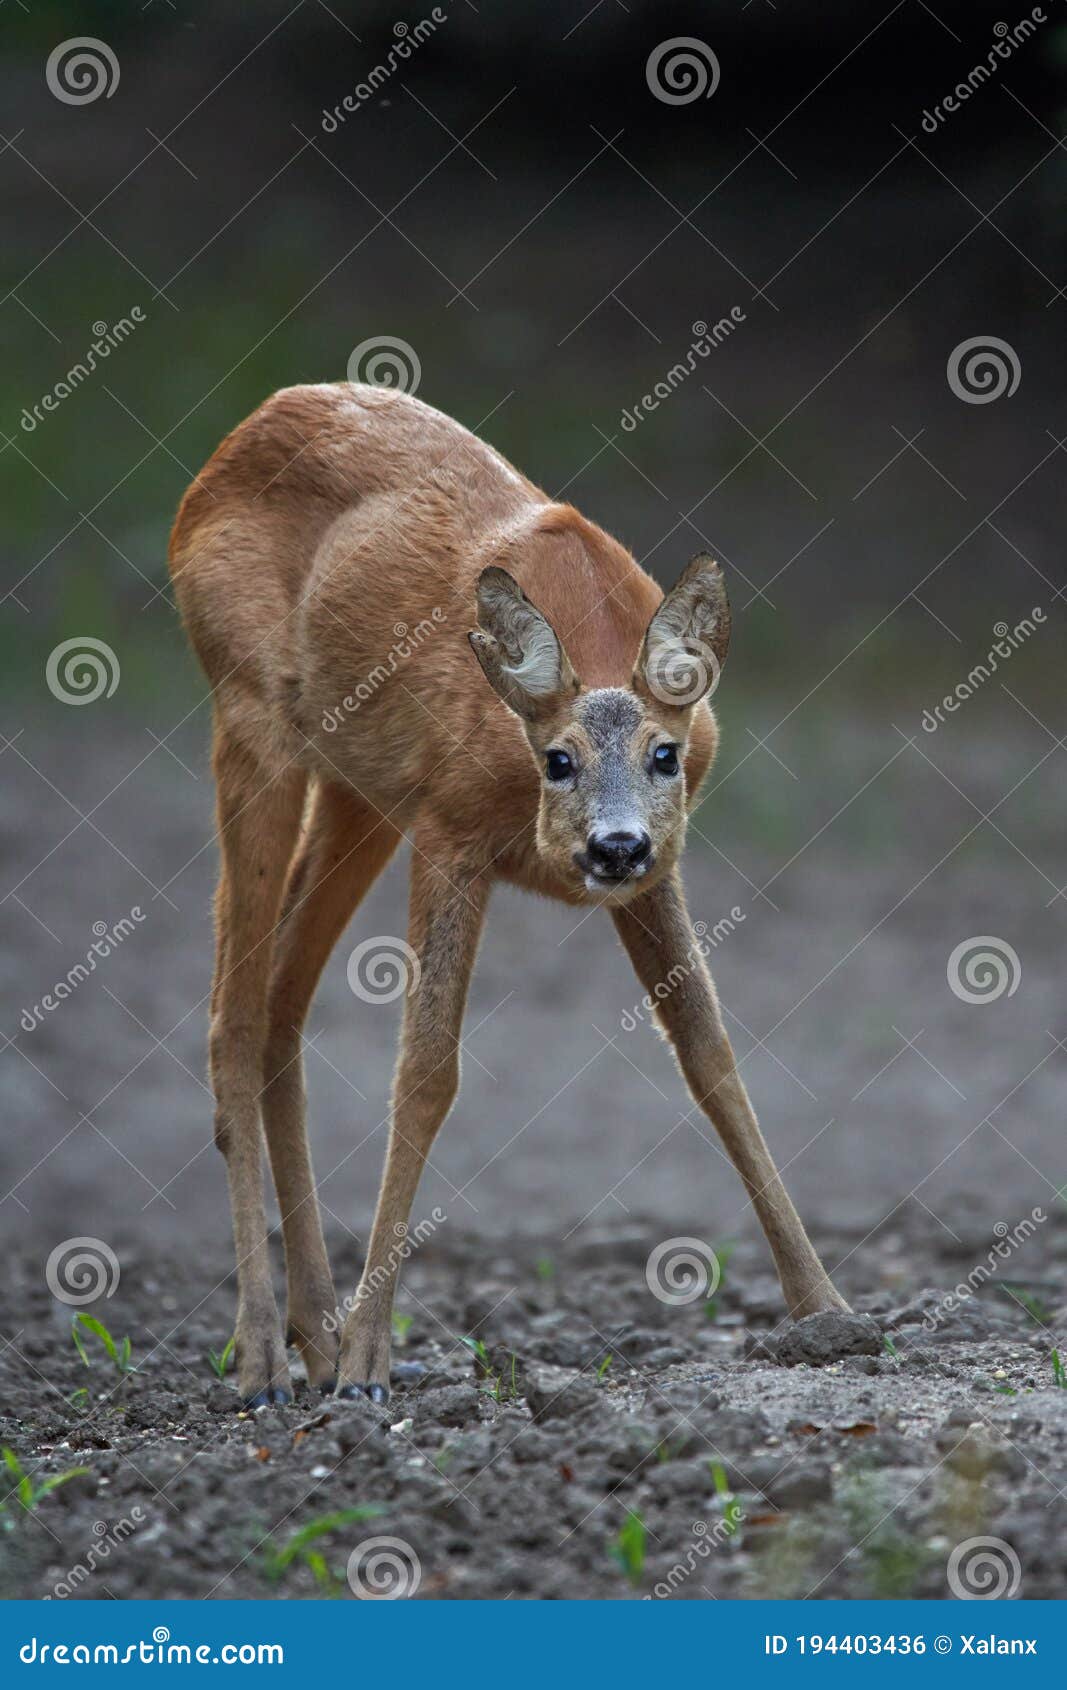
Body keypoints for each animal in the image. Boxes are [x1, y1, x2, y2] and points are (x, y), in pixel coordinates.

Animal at [168, 382, 847, 1407]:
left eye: (665, 754)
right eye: (556, 759)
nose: (614, 844)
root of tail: (231, 442)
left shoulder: (657, 874)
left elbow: (710, 1056)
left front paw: (826, 1311)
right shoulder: (450, 832)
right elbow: (425, 1073)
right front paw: (370, 1359)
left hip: (362, 790)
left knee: (282, 999)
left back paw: (312, 1337)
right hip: (251, 717)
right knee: (232, 1014)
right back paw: (264, 1361)